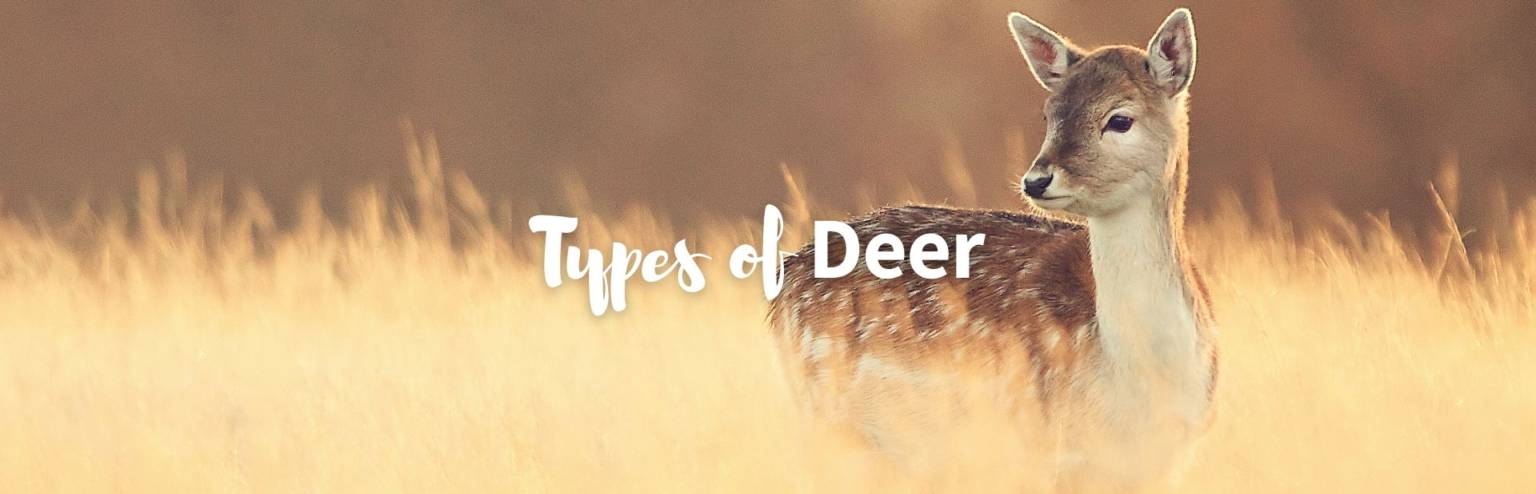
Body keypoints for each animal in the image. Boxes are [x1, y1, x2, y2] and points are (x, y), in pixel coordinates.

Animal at [769, 8, 1216, 492]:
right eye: (1048, 114)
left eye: (1120, 119)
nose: (1036, 180)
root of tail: (784, 278)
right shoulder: (1046, 444)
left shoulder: (1171, 457)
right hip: (826, 413)